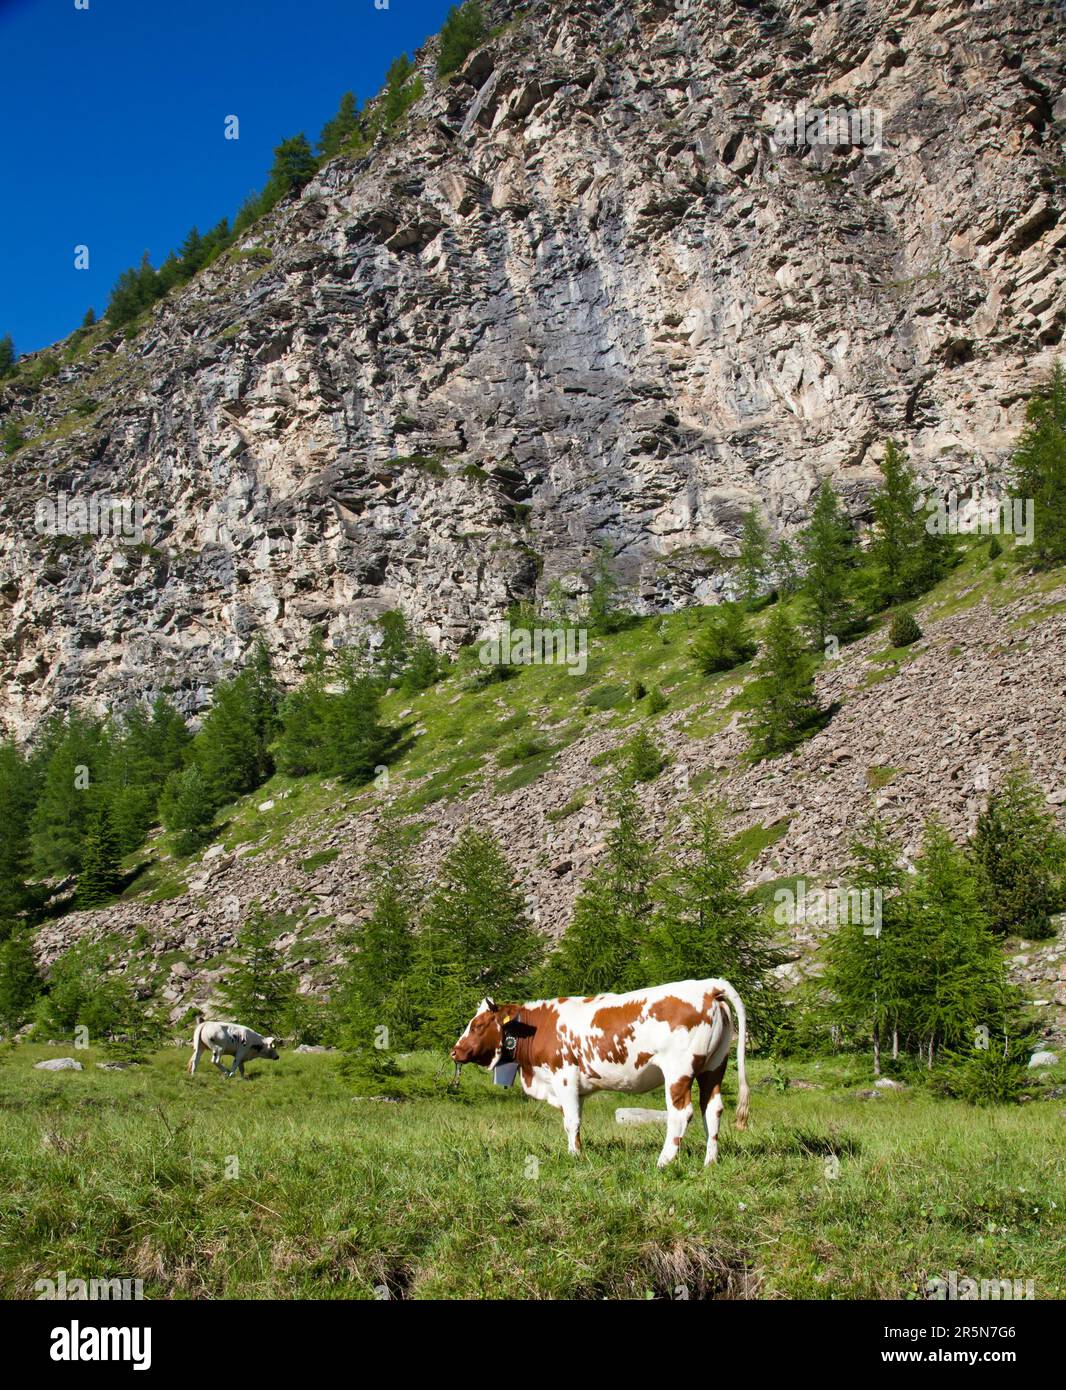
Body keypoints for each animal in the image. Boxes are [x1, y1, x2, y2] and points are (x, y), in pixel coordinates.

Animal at [451, 978, 749, 1167]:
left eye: (477, 1025)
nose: (455, 1051)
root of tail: (708, 986)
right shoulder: (575, 1088)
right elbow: (574, 1121)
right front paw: (578, 1151)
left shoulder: (564, 1076)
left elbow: (570, 1121)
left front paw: (573, 1157)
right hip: (714, 1066)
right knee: (712, 1110)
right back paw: (710, 1162)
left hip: (678, 1070)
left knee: (681, 1113)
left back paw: (664, 1161)